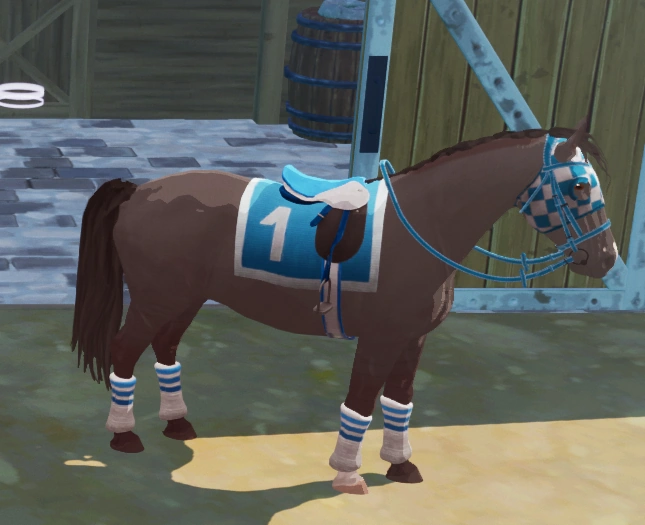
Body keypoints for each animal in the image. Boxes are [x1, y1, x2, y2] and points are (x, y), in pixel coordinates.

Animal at [71, 118, 617, 495]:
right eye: (578, 185)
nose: (606, 258)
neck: (424, 221)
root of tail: (140, 190)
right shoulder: (380, 339)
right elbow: (359, 404)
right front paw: (348, 475)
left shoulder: (413, 339)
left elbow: (399, 402)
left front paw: (401, 465)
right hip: (155, 299)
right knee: (124, 351)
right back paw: (123, 435)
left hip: (184, 298)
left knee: (165, 349)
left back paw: (177, 422)